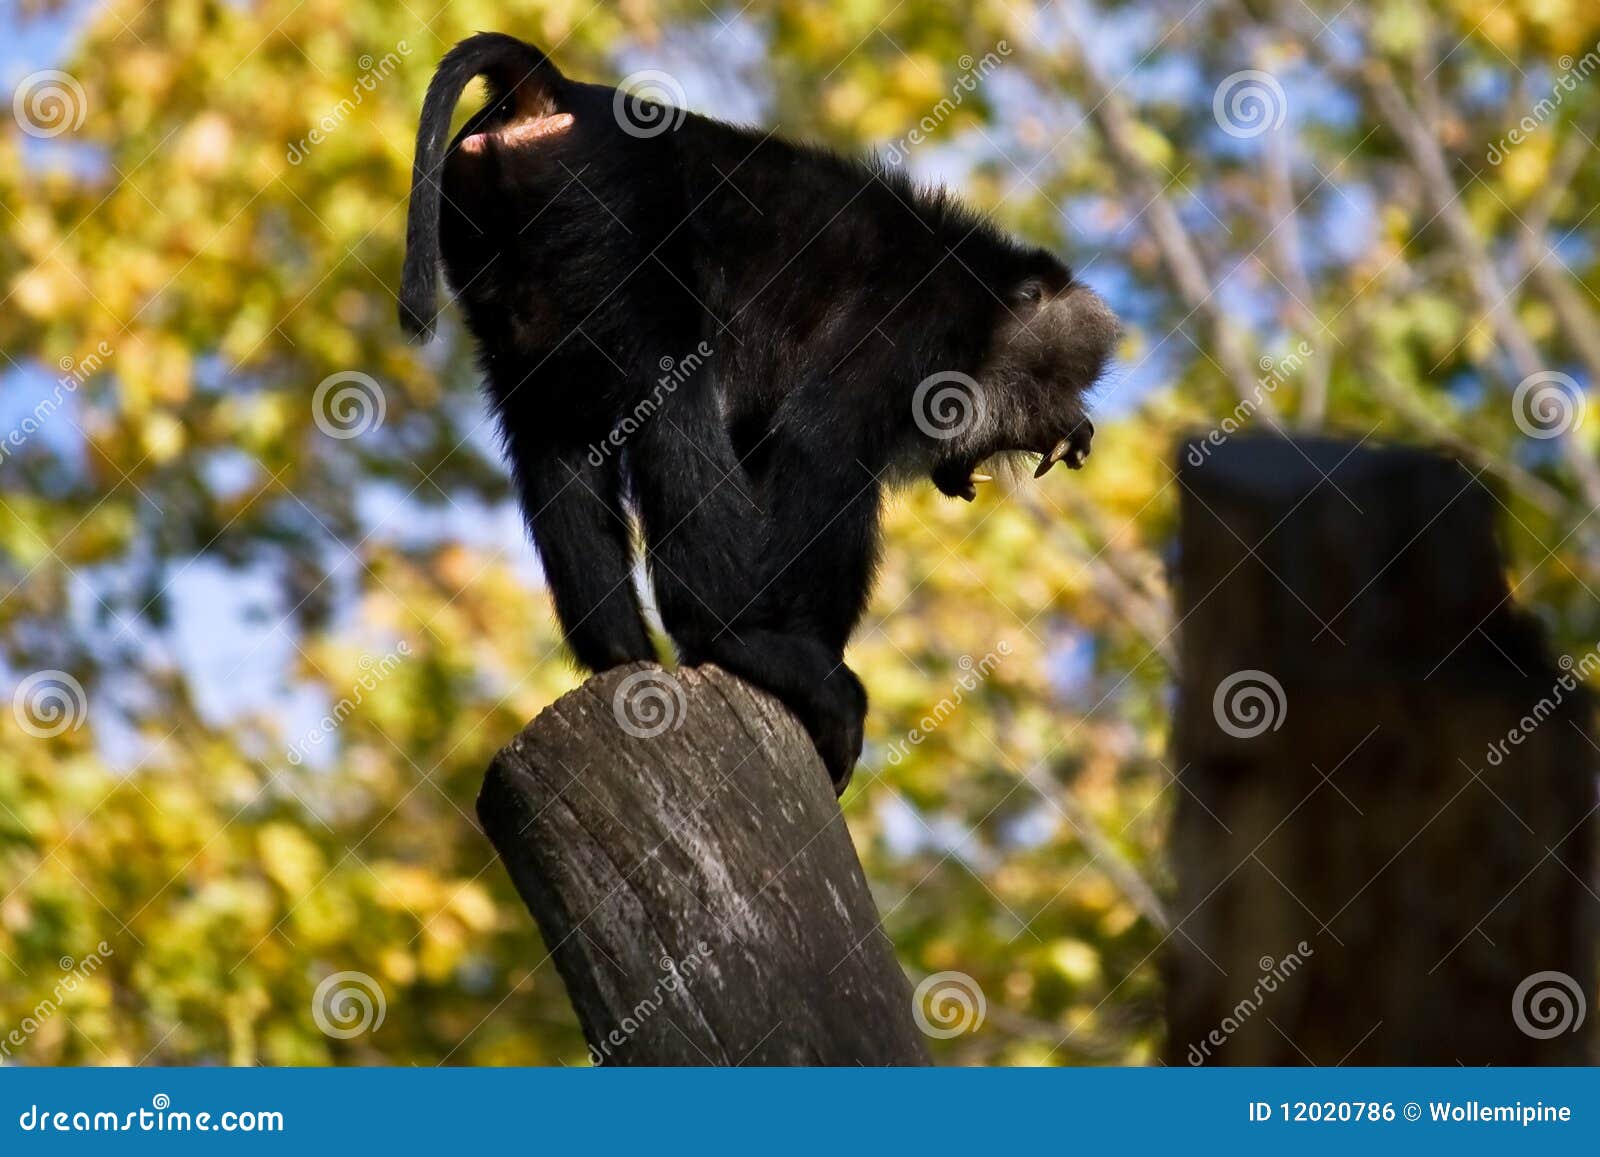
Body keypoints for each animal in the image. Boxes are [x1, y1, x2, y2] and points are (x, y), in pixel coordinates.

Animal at [399, 33, 1119, 793]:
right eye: (1047, 383)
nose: (1063, 422)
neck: (978, 297)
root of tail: (553, 94)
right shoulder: (918, 329)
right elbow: (819, 444)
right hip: (609, 214)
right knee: (671, 384)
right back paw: (740, 640)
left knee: (545, 423)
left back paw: (621, 654)